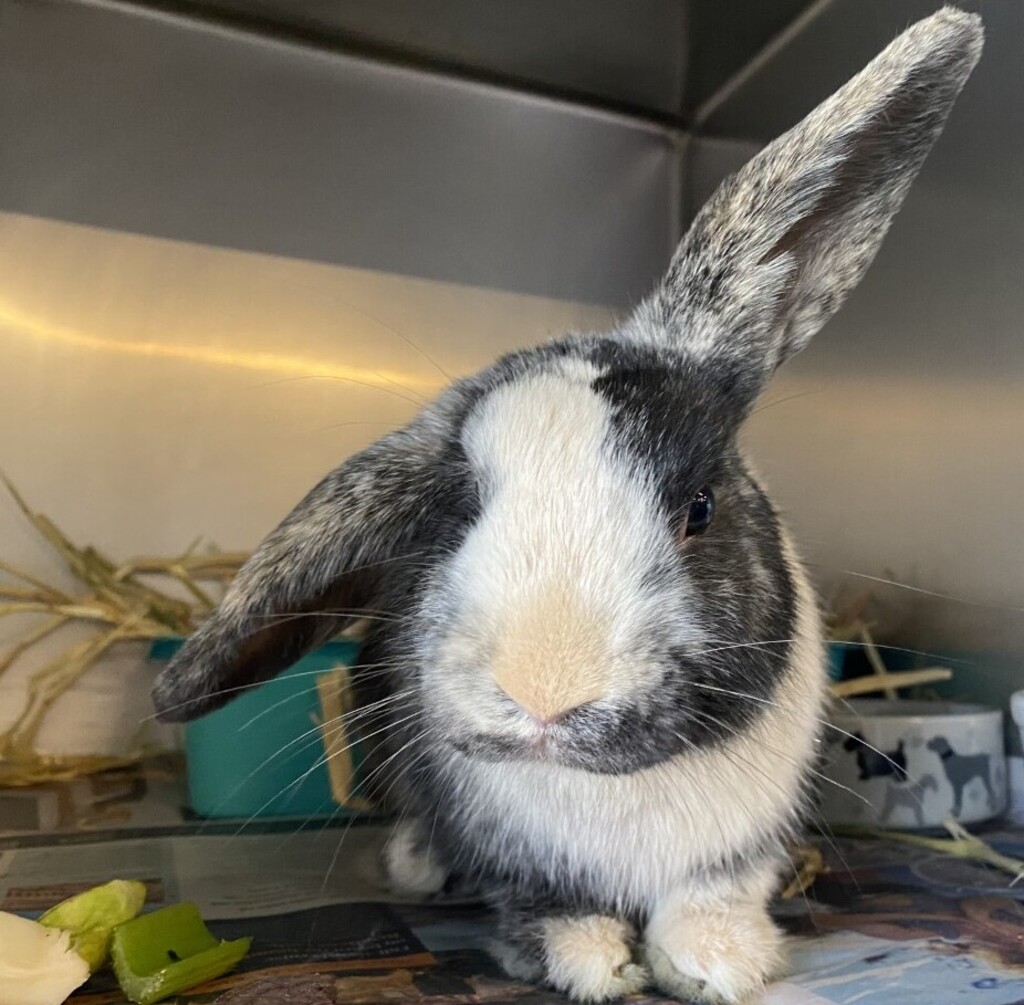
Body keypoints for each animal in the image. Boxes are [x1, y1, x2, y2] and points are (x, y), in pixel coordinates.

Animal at [152, 9, 982, 1003]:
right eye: (454, 514)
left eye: (699, 507)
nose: (545, 689)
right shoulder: (517, 861)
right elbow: (543, 903)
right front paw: (595, 963)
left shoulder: (739, 847)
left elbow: (713, 894)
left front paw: (720, 962)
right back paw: (414, 868)